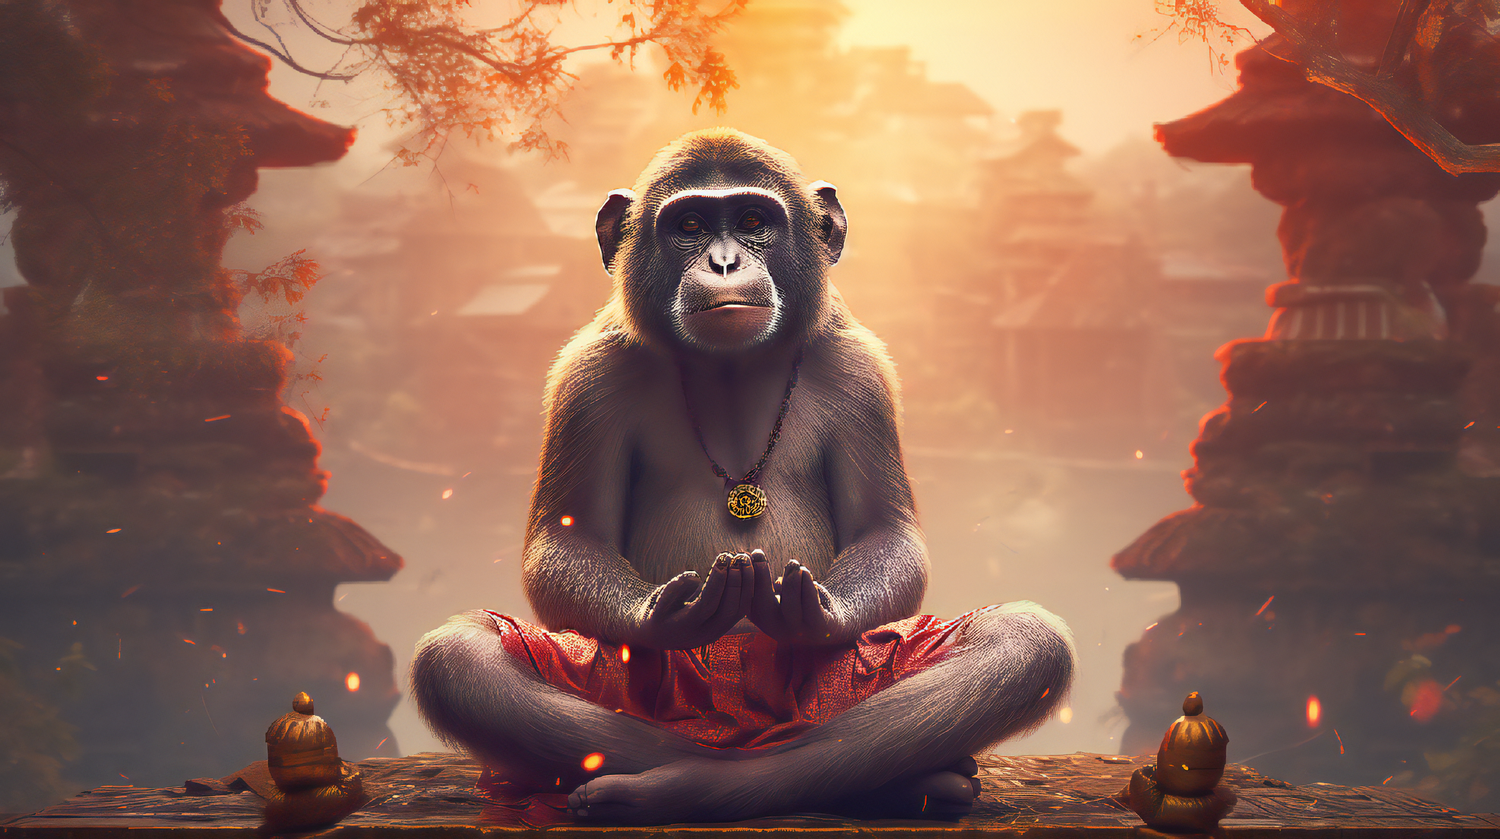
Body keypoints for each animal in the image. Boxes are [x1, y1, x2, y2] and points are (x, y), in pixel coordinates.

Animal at [410, 128, 1075, 825]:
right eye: (690, 225)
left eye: (754, 221)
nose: (725, 261)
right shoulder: (587, 377)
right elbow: (563, 539)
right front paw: (660, 616)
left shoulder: (859, 371)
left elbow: (887, 530)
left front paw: (819, 613)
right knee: (459, 658)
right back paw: (681, 775)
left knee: (1023, 640)